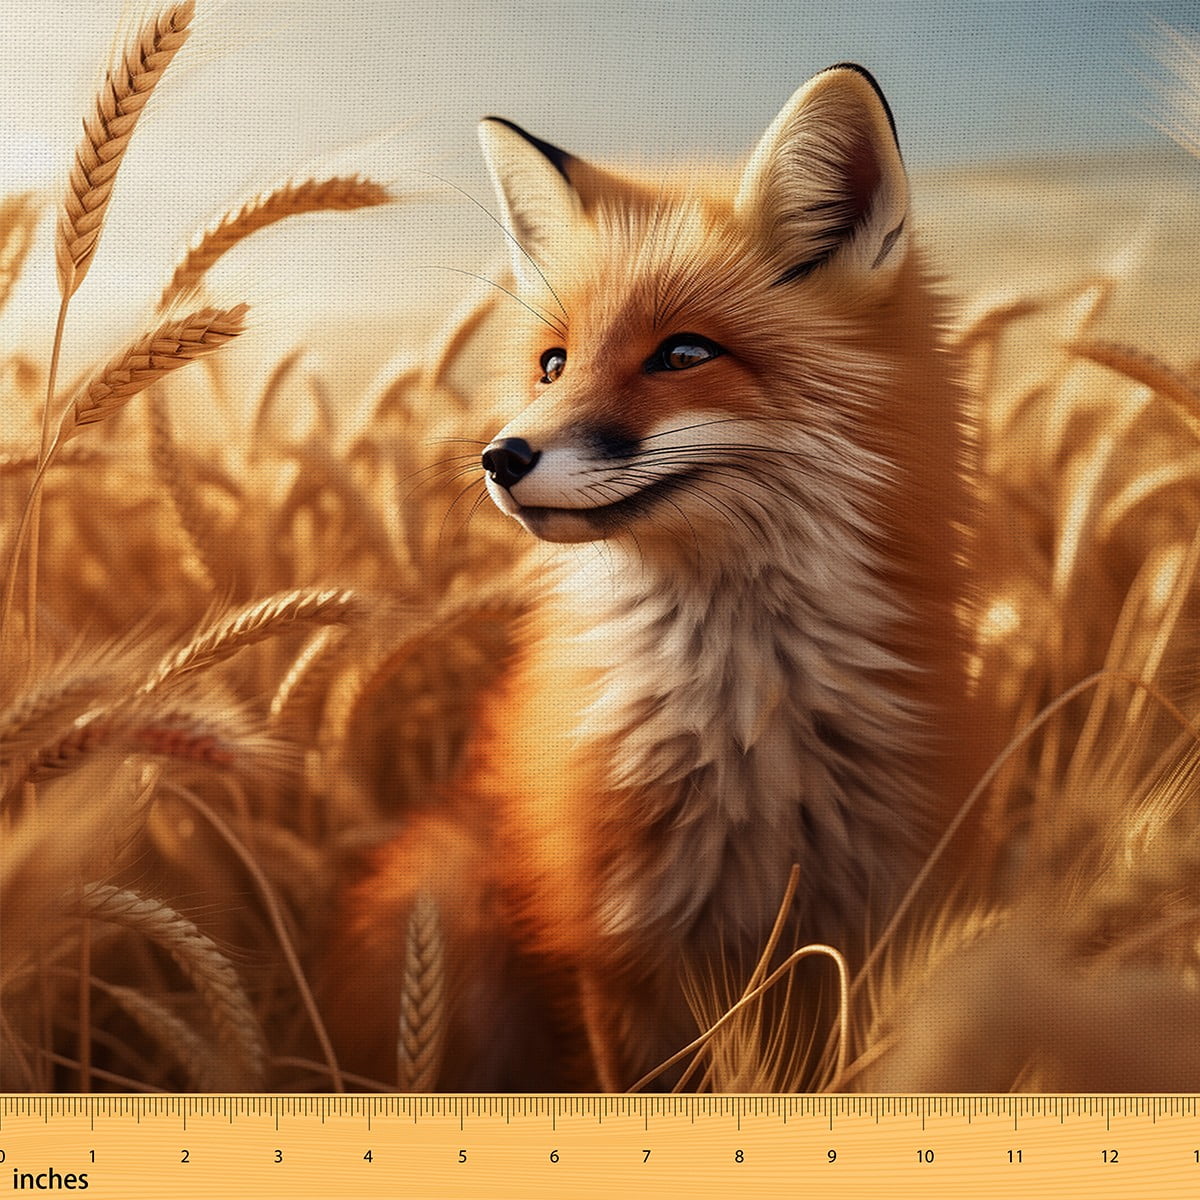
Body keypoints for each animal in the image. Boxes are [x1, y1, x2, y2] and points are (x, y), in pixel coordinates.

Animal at [324, 63, 988, 1091]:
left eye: (682, 353)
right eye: (553, 363)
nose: (499, 458)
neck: (750, 740)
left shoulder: (875, 922)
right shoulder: (623, 952)